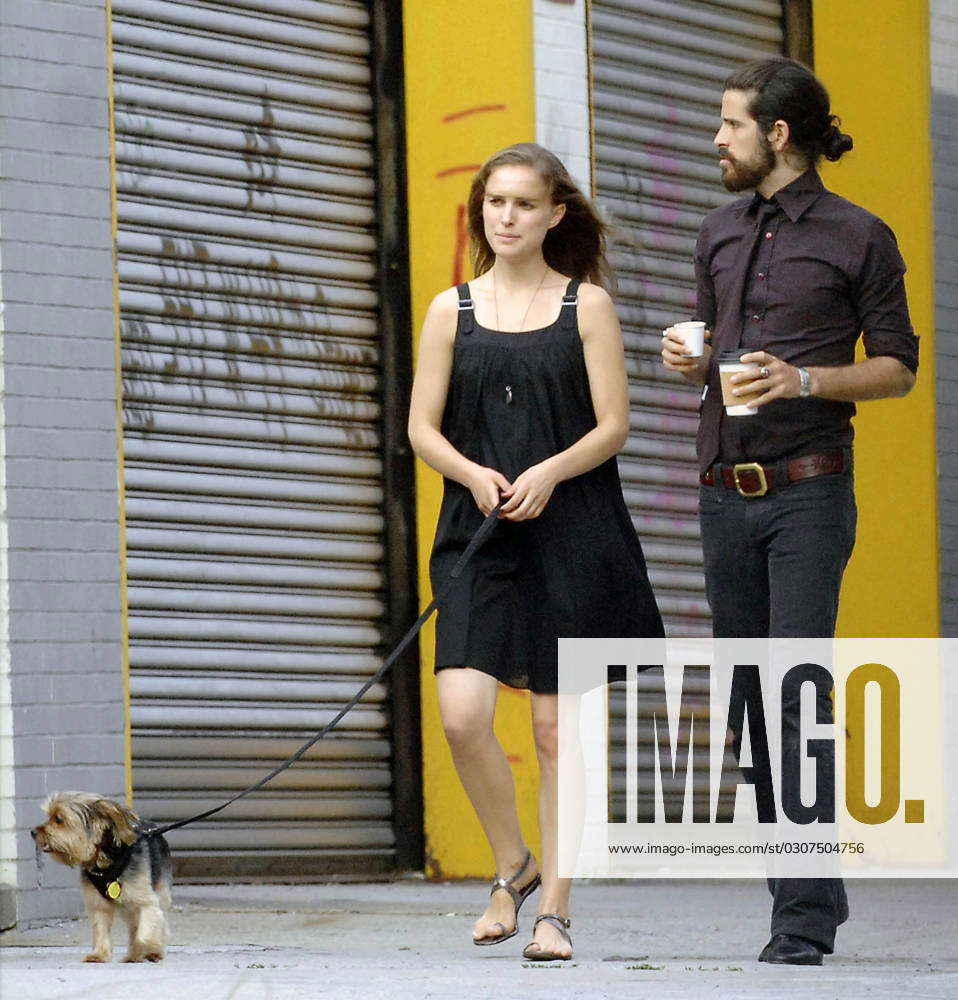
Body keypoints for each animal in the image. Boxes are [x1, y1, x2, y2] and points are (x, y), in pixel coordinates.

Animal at [32, 792, 172, 963]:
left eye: (59, 819)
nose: (32, 832)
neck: (104, 860)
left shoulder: (146, 901)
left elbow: (146, 932)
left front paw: (146, 949)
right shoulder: (98, 905)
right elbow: (101, 929)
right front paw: (98, 954)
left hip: (158, 891)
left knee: (159, 922)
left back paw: (152, 952)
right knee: (134, 926)